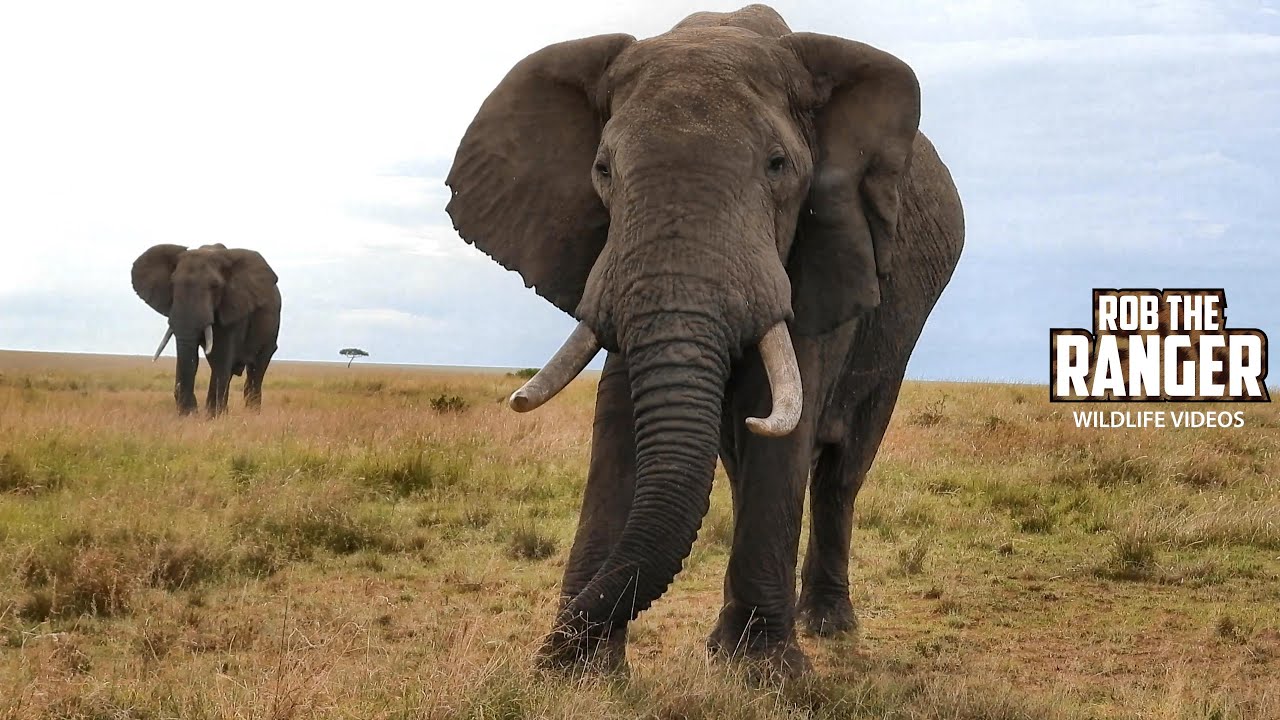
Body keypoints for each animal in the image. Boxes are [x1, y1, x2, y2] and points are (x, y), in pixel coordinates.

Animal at [131, 243, 281, 416]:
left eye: (215, 286)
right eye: (172, 283)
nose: (190, 411)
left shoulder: (234, 306)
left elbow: (222, 355)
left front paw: (213, 417)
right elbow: (192, 355)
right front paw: (191, 415)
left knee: (256, 368)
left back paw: (252, 413)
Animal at [445, 4, 964, 675]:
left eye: (779, 165)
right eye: (603, 170)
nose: (548, 649)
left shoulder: (827, 247)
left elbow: (785, 416)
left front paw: (766, 675)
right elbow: (621, 417)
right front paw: (578, 674)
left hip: (899, 331)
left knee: (842, 469)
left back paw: (826, 626)